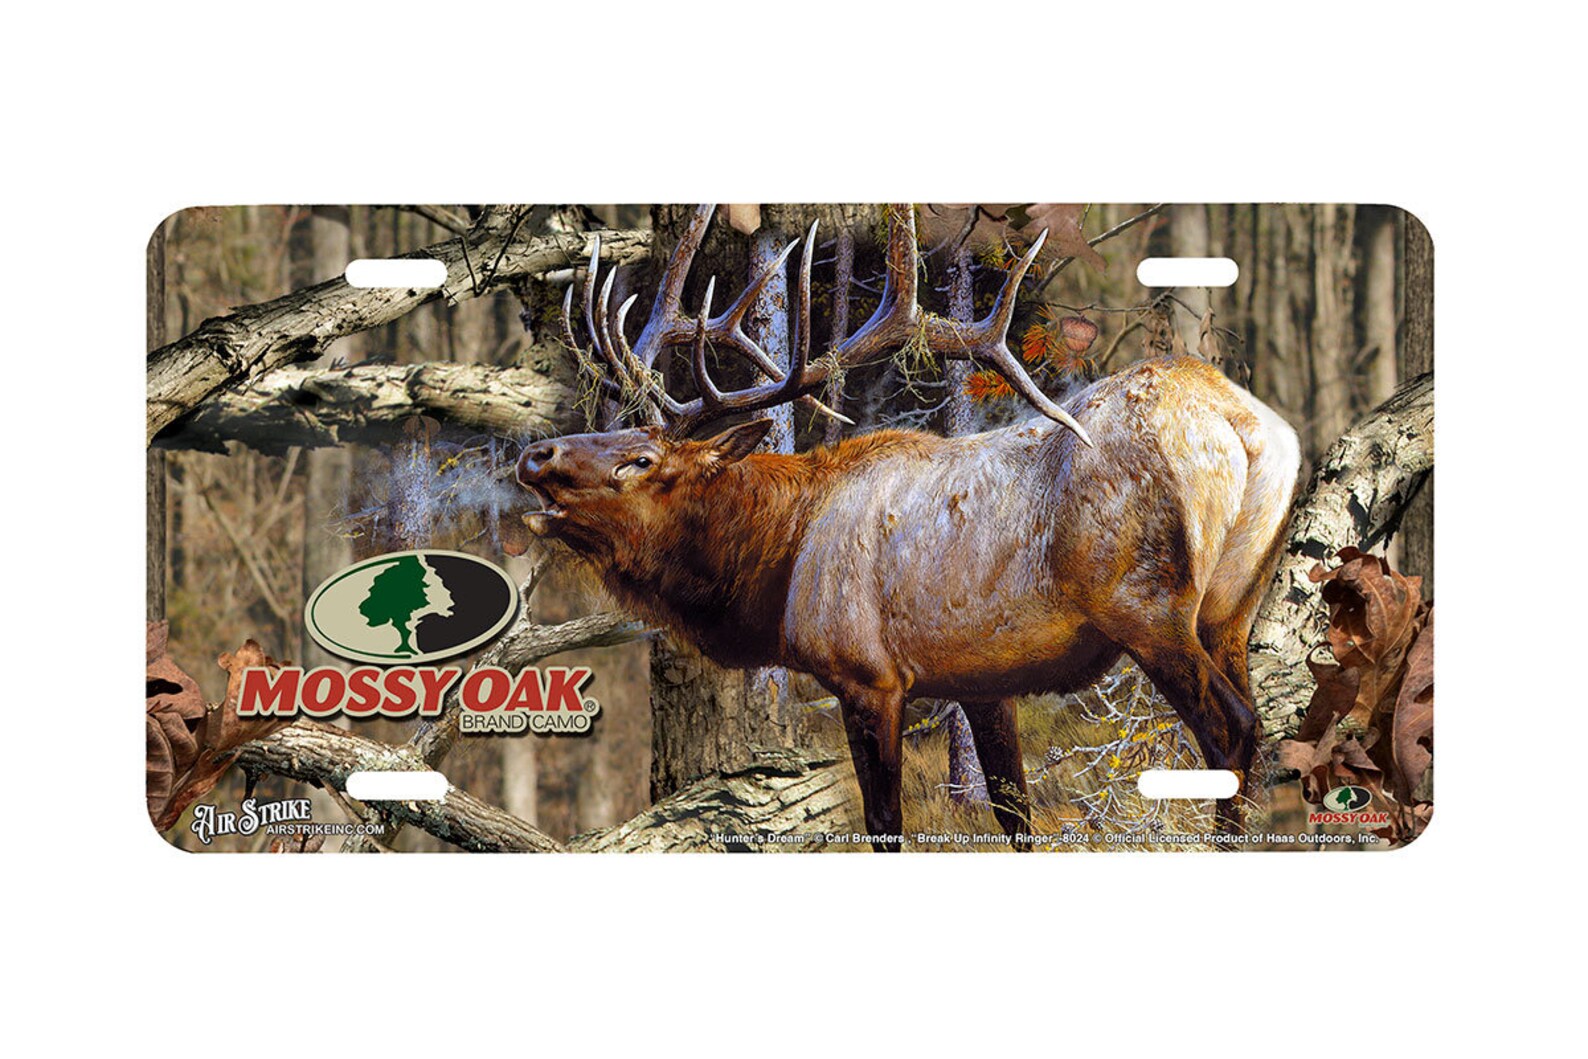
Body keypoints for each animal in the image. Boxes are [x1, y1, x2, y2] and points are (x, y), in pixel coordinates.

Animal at [515, 205, 1300, 851]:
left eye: (642, 459)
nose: (535, 455)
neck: (778, 564)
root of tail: (1244, 424)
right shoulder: (984, 680)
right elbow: (1013, 815)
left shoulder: (866, 673)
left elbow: (884, 823)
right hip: (1231, 605)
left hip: (1147, 604)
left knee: (1231, 729)